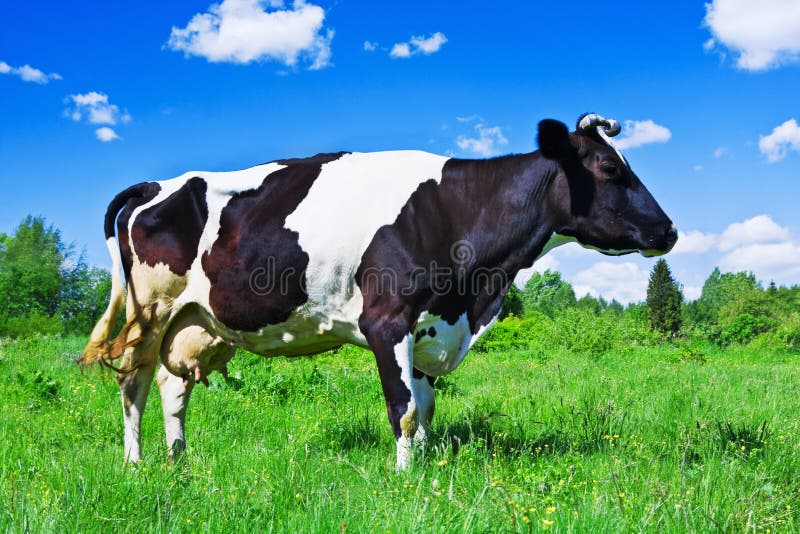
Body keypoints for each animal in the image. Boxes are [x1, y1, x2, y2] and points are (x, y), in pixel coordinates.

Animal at [80, 114, 677, 470]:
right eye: (609, 167)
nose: (669, 230)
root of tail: (157, 184)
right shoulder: (386, 320)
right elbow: (405, 408)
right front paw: (406, 478)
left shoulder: (431, 324)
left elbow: (428, 405)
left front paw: (430, 467)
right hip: (150, 311)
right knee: (133, 384)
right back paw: (136, 463)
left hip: (197, 323)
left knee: (171, 385)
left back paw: (179, 459)